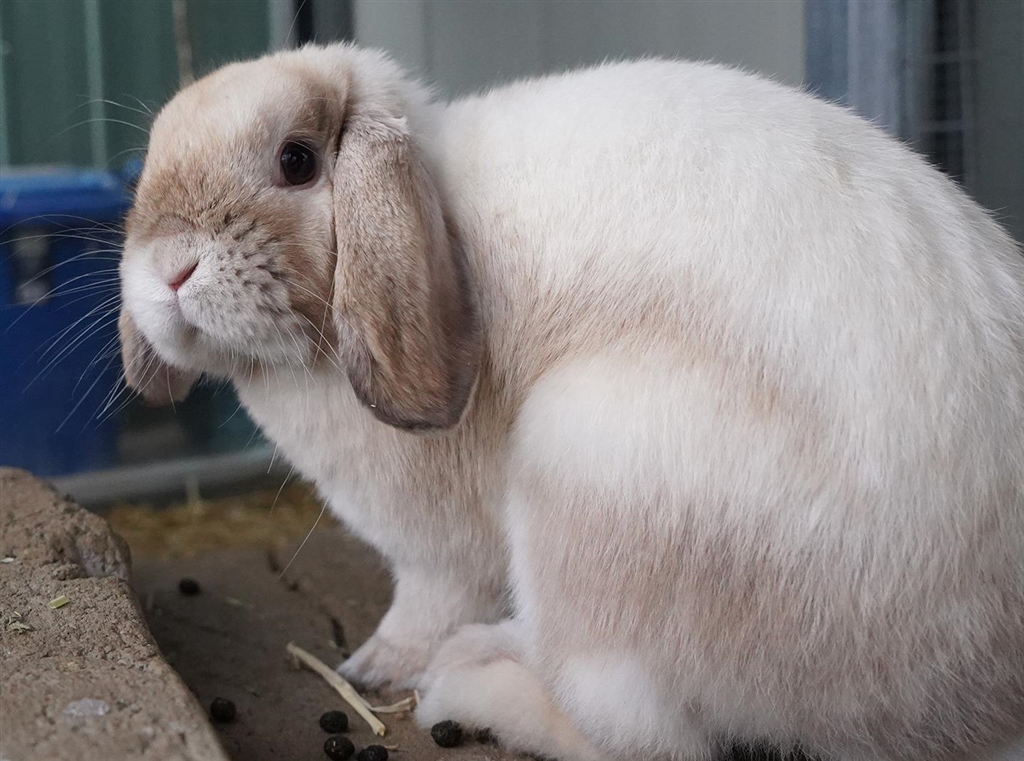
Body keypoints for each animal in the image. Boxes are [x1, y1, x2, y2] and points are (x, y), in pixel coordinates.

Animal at [117, 42, 1024, 761]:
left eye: (298, 161)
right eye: (150, 159)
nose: (167, 271)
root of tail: (980, 698)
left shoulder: (437, 553)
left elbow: (424, 603)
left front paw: (373, 666)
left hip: (589, 471)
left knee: (642, 738)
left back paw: (471, 682)